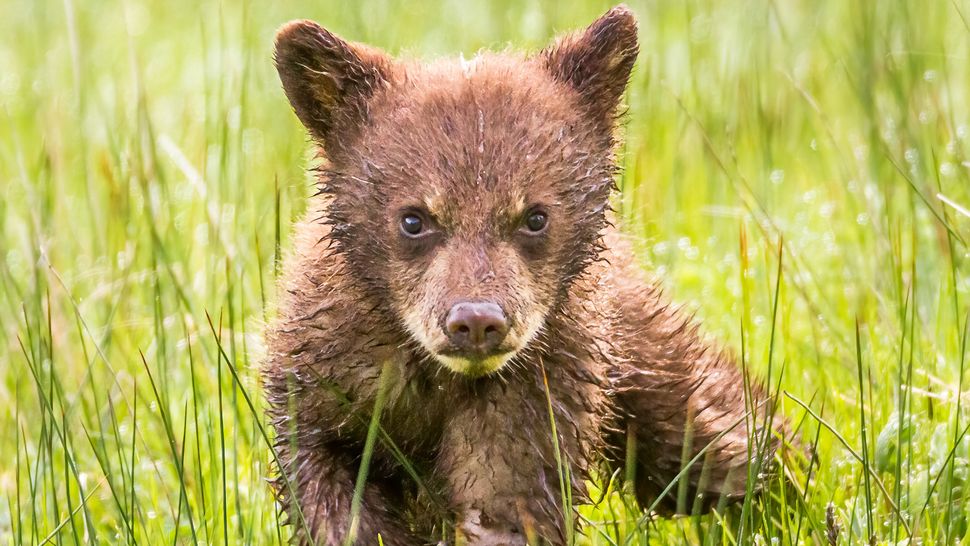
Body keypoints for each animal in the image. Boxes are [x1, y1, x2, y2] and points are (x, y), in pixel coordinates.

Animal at [263, 5, 780, 545]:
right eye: (414, 218)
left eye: (535, 216)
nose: (475, 320)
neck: (435, 380)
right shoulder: (325, 380)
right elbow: (331, 493)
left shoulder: (538, 386)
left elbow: (507, 500)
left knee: (710, 431)